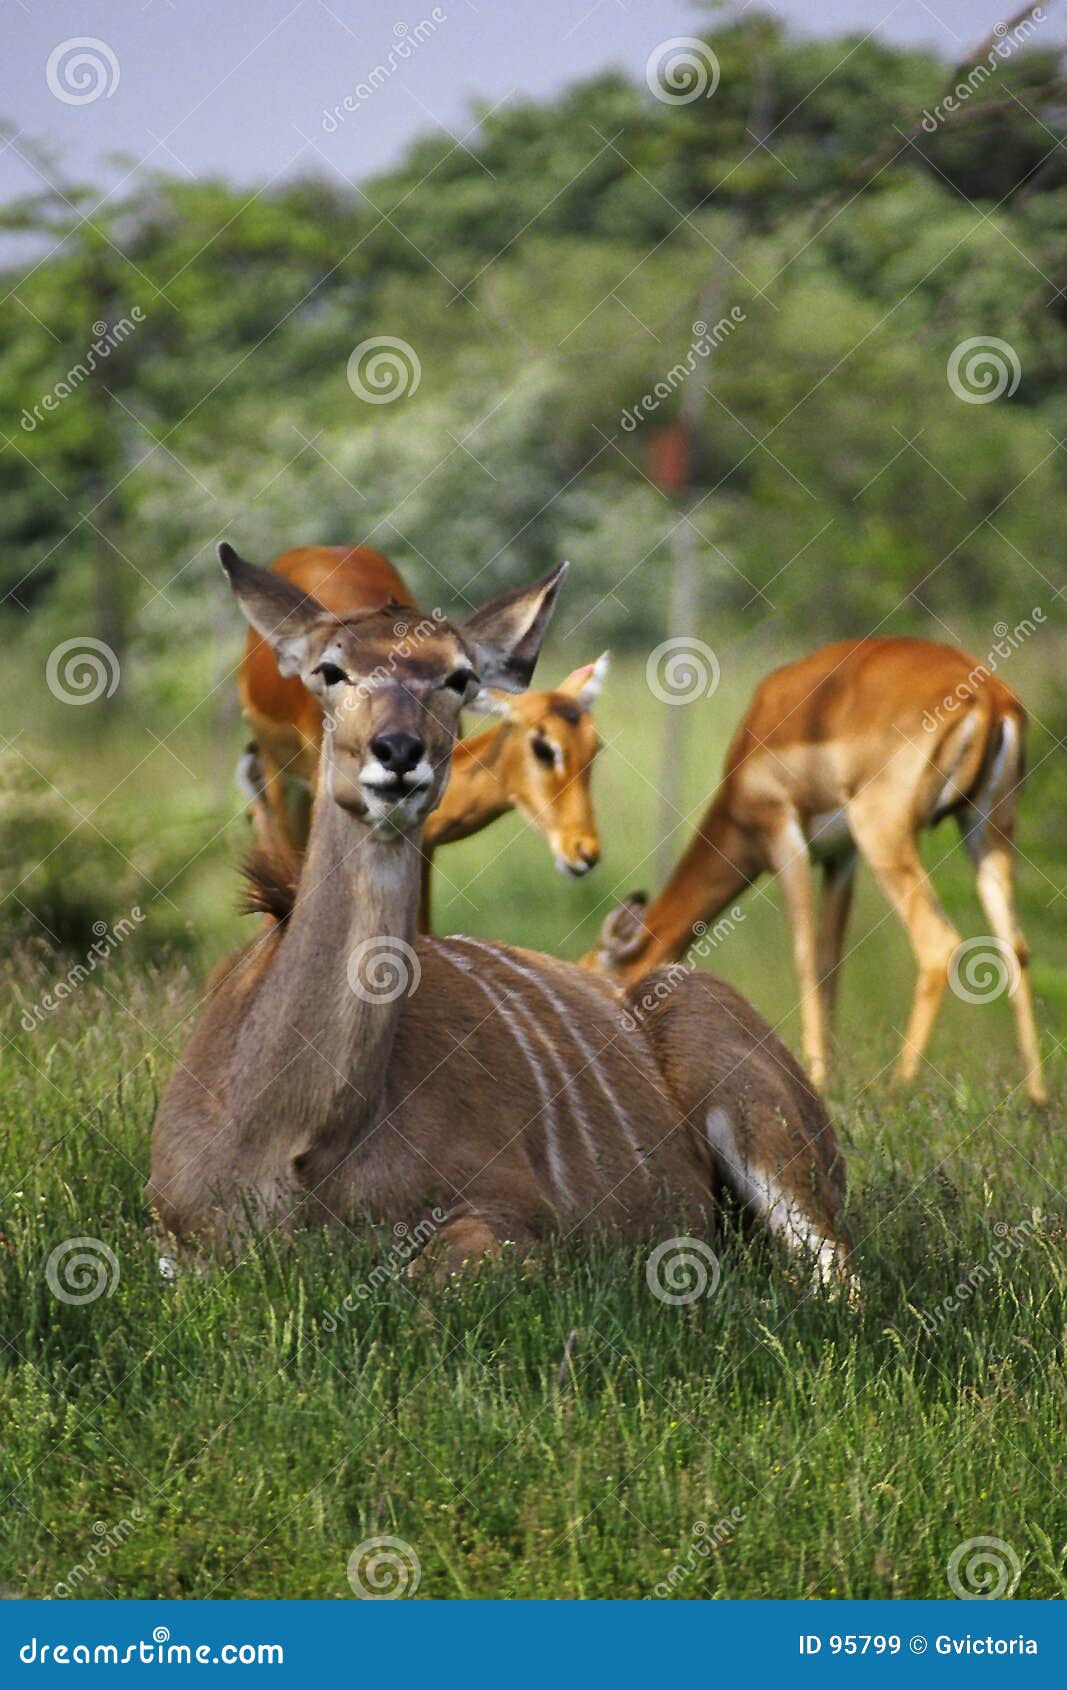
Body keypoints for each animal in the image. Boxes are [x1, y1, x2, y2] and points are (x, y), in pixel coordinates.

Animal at [587, 636, 1047, 1106]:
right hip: (988, 833)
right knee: (1015, 946)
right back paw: (1037, 1096)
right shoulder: (841, 858)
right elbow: (829, 961)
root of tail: (990, 693)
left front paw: (818, 1078)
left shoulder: (784, 838)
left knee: (938, 942)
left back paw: (898, 1087)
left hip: (885, 835)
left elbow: (804, 957)